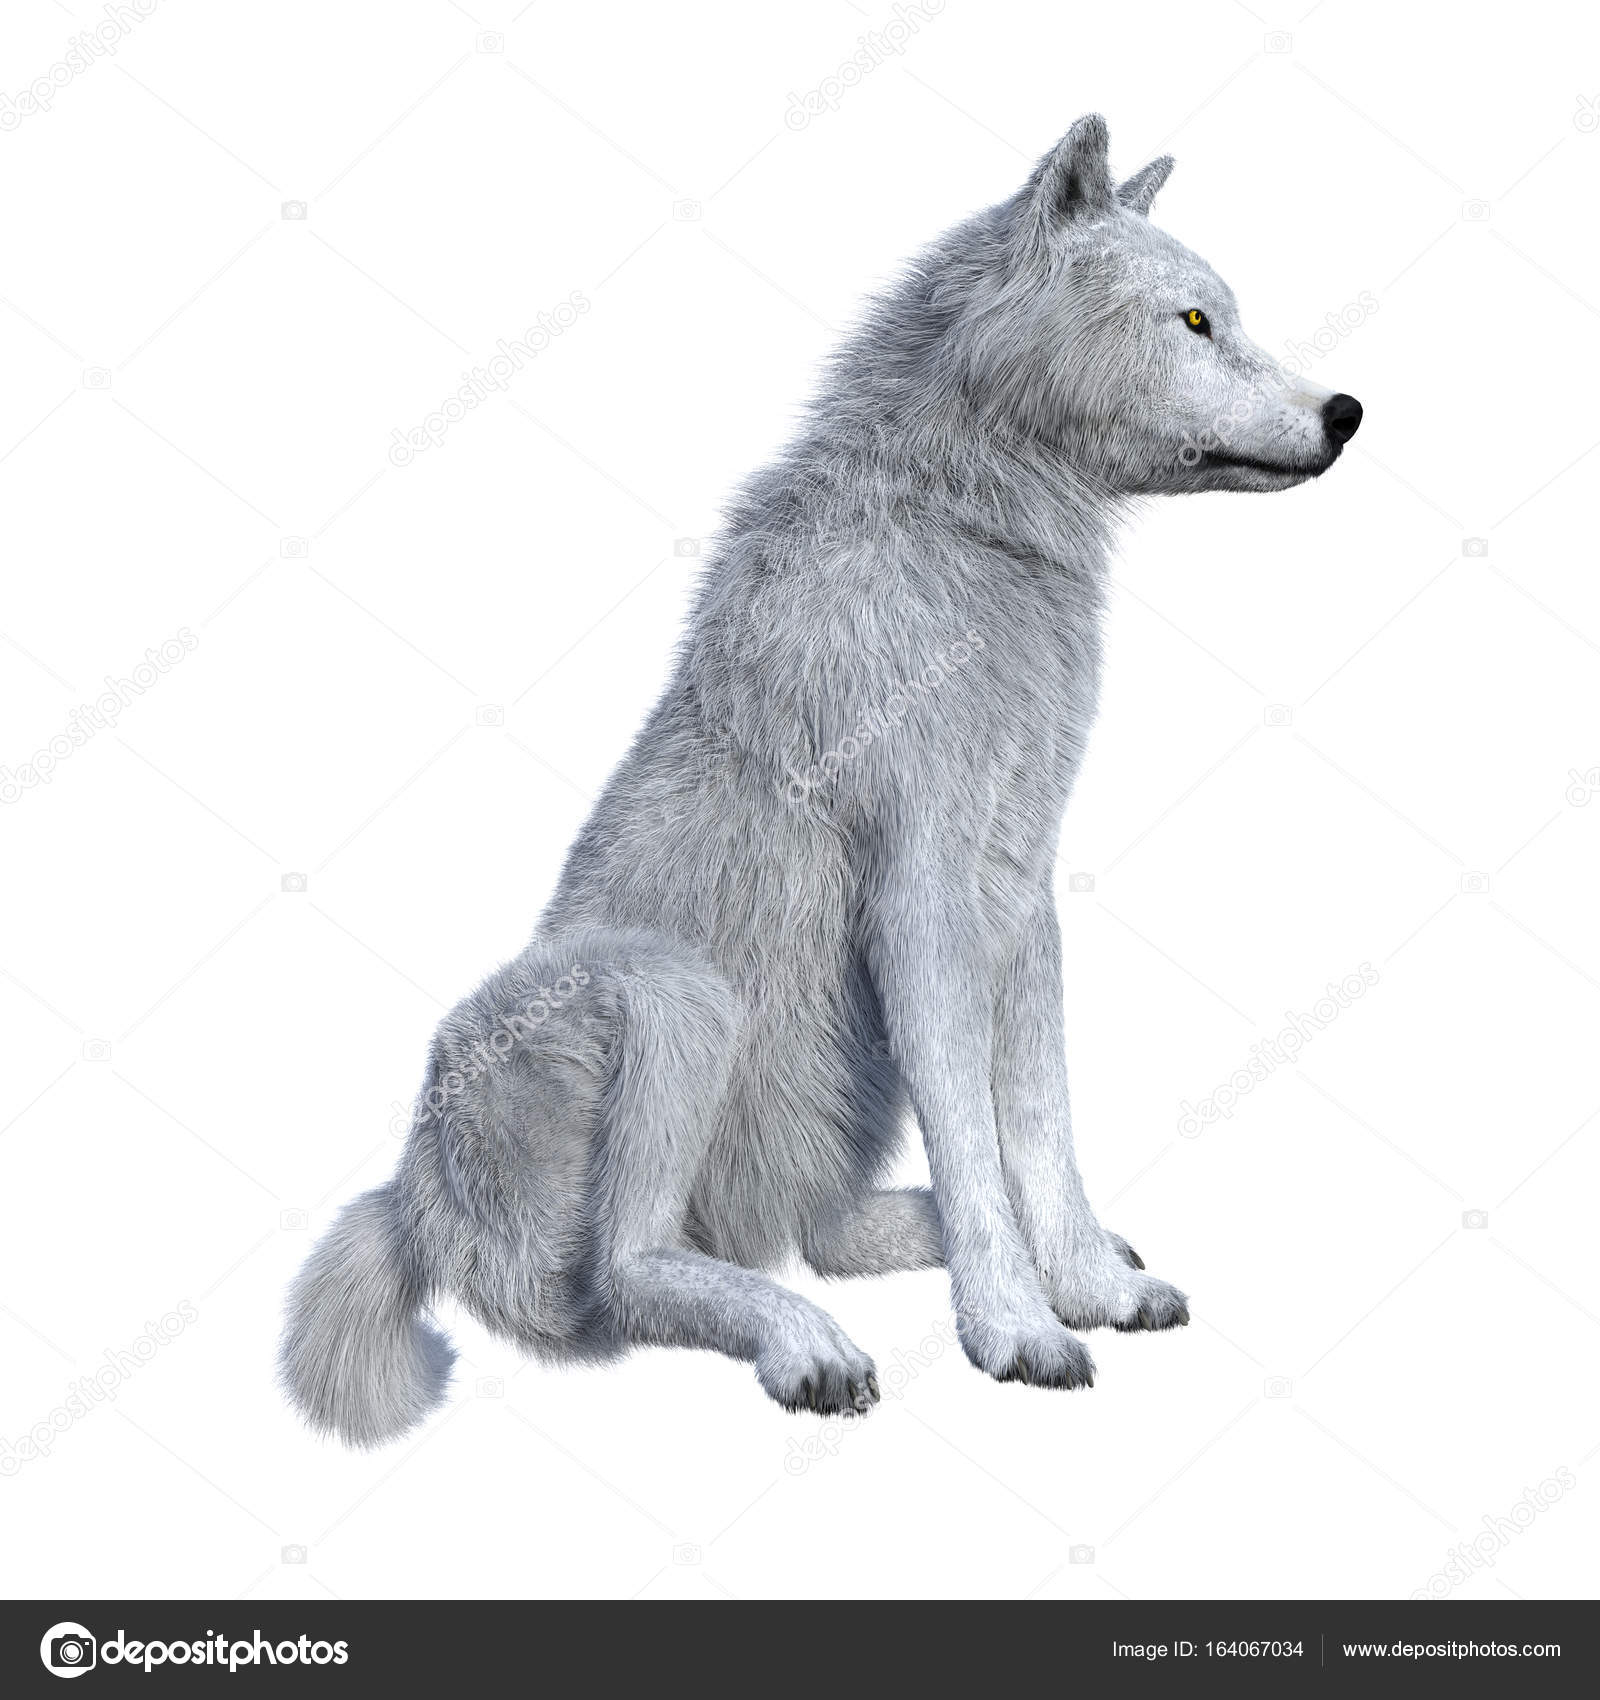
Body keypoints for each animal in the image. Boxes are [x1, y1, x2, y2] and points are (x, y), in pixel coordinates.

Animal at [281, 114, 1362, 1444]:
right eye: (1195, 320)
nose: (1346, 409)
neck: (966, 532)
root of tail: (413, 1194)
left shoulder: (1021, 900)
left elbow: (1038, 1129)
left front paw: (1088, 1286)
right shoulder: (922, 899)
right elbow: (978, 1140)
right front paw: (1016, 1328)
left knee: (822, 1233)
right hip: (675, 994)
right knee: (624, 1273)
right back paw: (810, 1345)